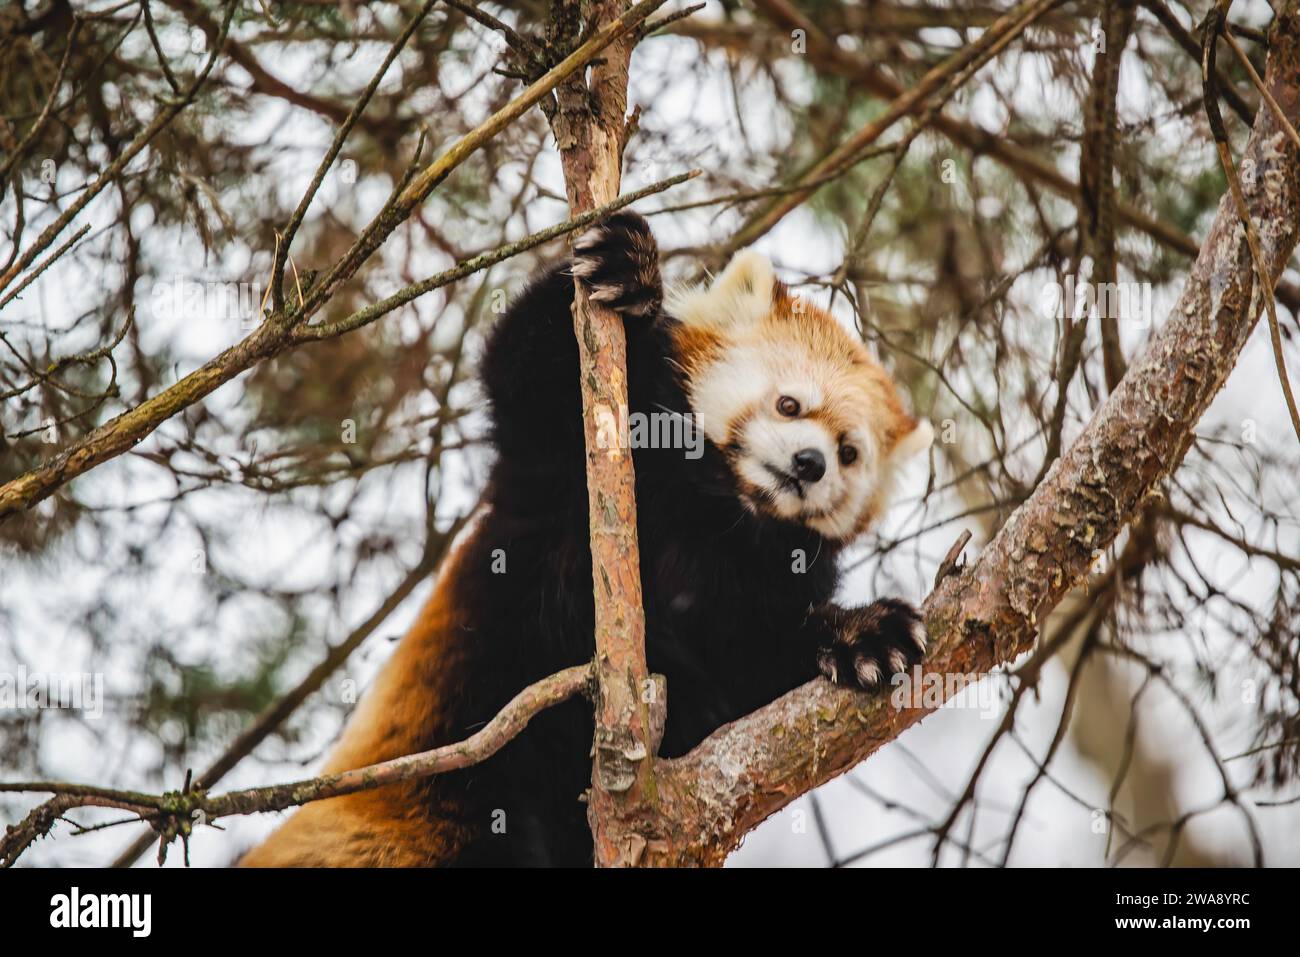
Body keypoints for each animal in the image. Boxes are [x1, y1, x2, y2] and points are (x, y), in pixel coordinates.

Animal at [241, 212, 933, 867]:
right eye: (790, 405)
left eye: (849, 452)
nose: (810, 464)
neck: (714, 513)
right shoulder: (555, 478)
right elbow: (529, 369)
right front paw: (627, 266)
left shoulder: (745, 583)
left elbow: (752, 666)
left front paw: (862, 635)